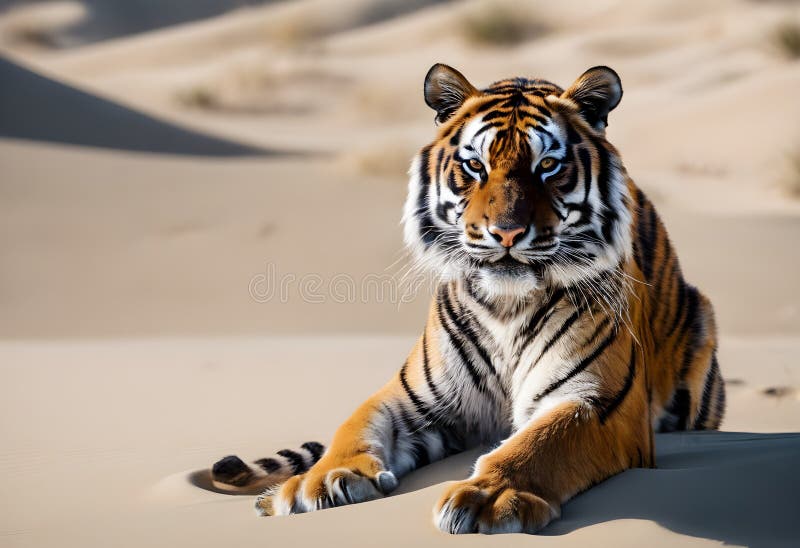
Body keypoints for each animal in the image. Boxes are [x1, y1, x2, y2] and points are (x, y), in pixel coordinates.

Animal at [211, 64, 725, 534]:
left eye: (548, 166)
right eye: (475, 165)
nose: (507, 232)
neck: (507, 305)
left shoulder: (599, 399)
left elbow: (543, 443)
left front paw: (489, 497)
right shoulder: (414, 398)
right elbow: (354, 425)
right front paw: (319, 481)